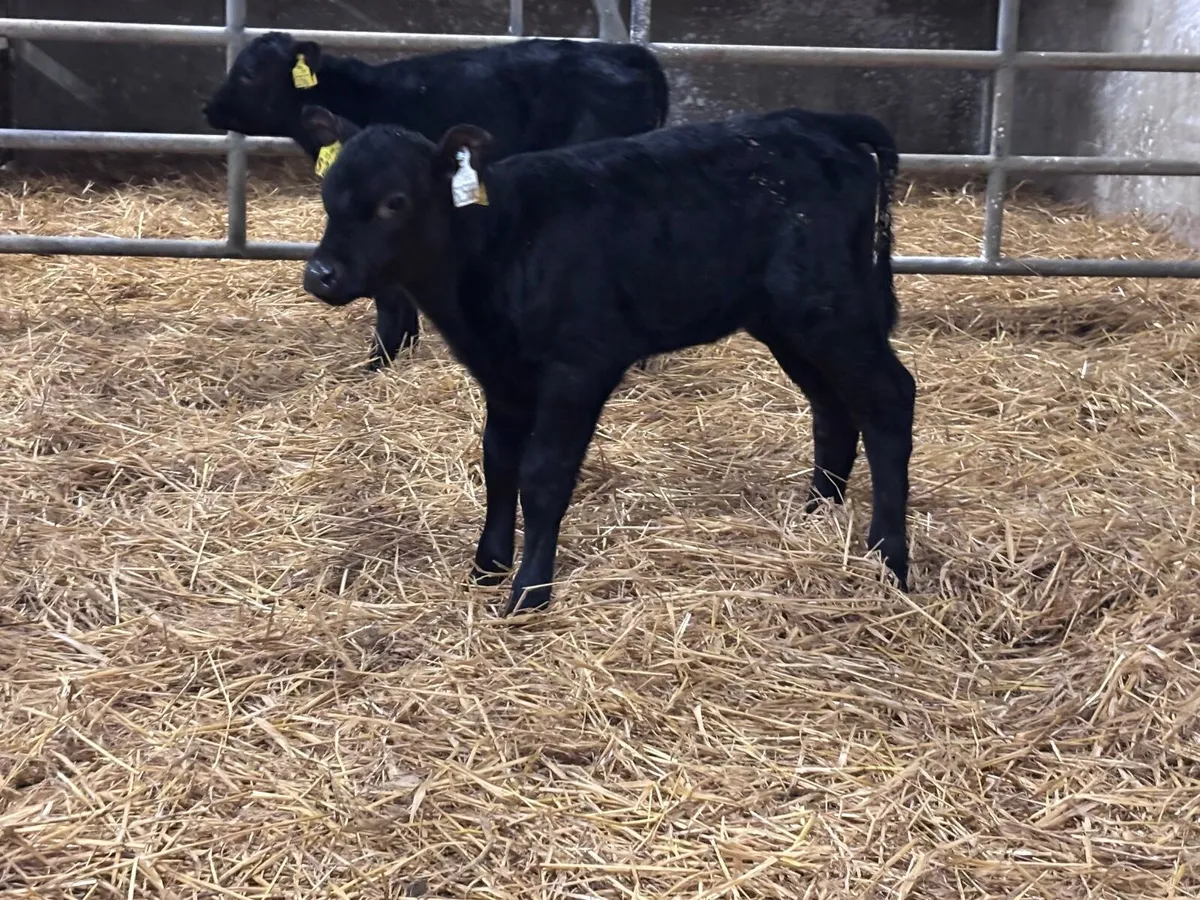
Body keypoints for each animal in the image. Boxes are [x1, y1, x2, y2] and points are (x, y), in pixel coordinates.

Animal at [297, 103, 916, 616]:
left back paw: (888, 559)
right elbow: (498, 462)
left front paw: (529, 592)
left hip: (831, 310)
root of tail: (824, 123)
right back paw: (812, 518)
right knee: (833, 410)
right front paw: (487, 566)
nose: (321, 274)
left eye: (393, 203)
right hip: (786, 322)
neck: (502, 242)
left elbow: (542, 474)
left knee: (889, 398)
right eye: (328, 191)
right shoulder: (502, 374)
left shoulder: (579, 366)